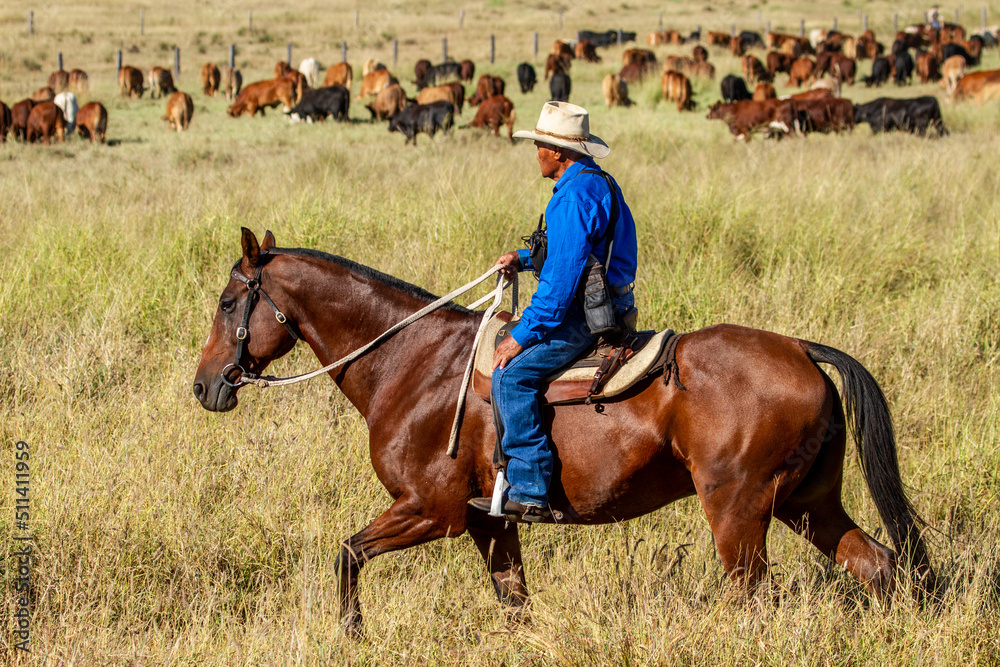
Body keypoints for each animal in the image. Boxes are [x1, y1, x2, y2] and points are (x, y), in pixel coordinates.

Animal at [193, 229, 934, 636]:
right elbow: (515, 602)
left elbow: (347, 554)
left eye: (229, 302)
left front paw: (352, 635)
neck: (412, 362)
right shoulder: (489, 521)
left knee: (757, 596)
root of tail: (803, 350)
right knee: (878, 563)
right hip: (807, 503)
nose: (205, 386)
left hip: (740, 510)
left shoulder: (431, 510)